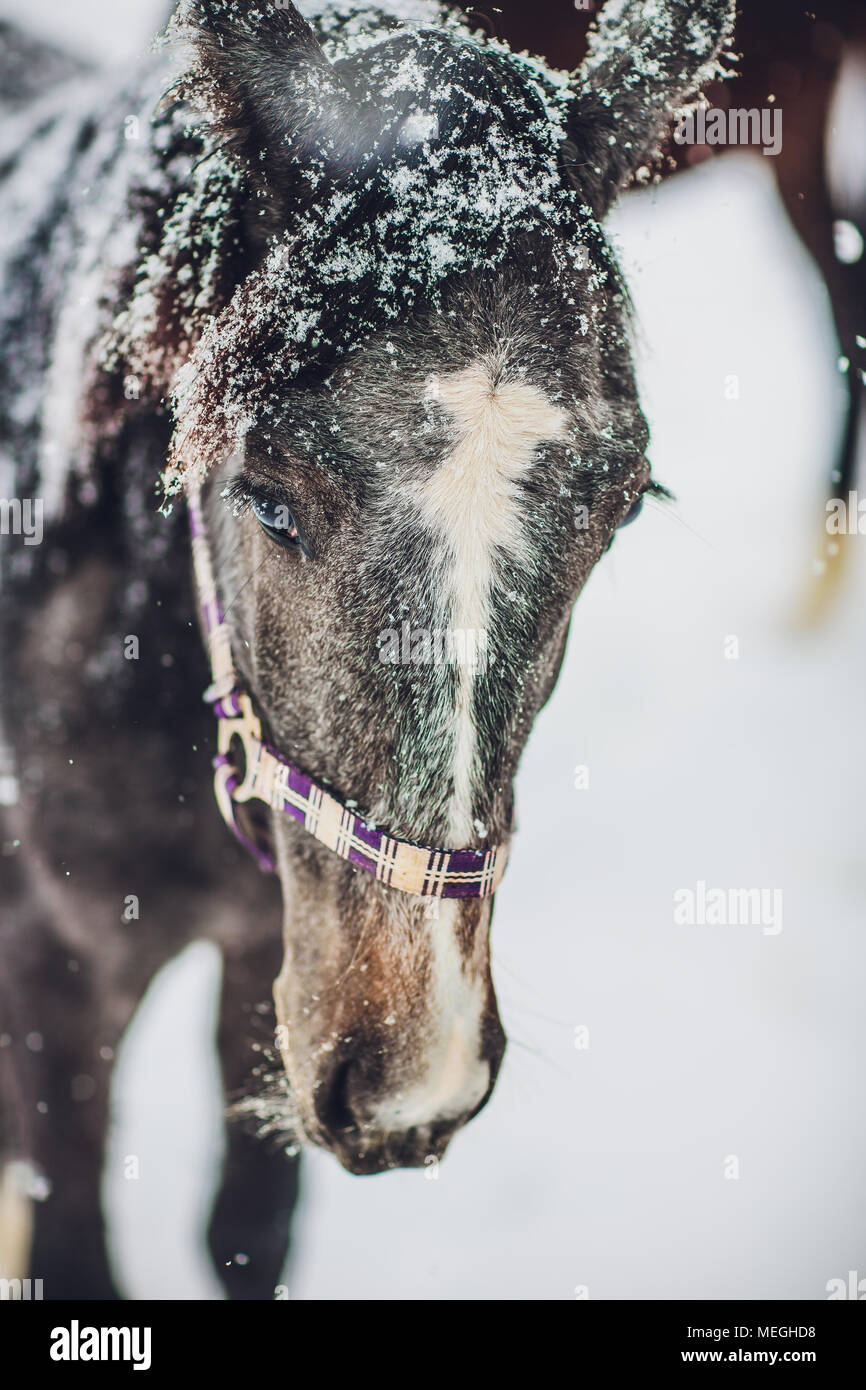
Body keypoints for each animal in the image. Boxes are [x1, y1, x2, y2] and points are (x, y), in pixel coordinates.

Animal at [0, 0, 736, 1299]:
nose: (412, 1087)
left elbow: (246, 1231)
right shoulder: (53, 973)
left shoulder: (274, 942)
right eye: (267, 498)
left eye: (624, 507)